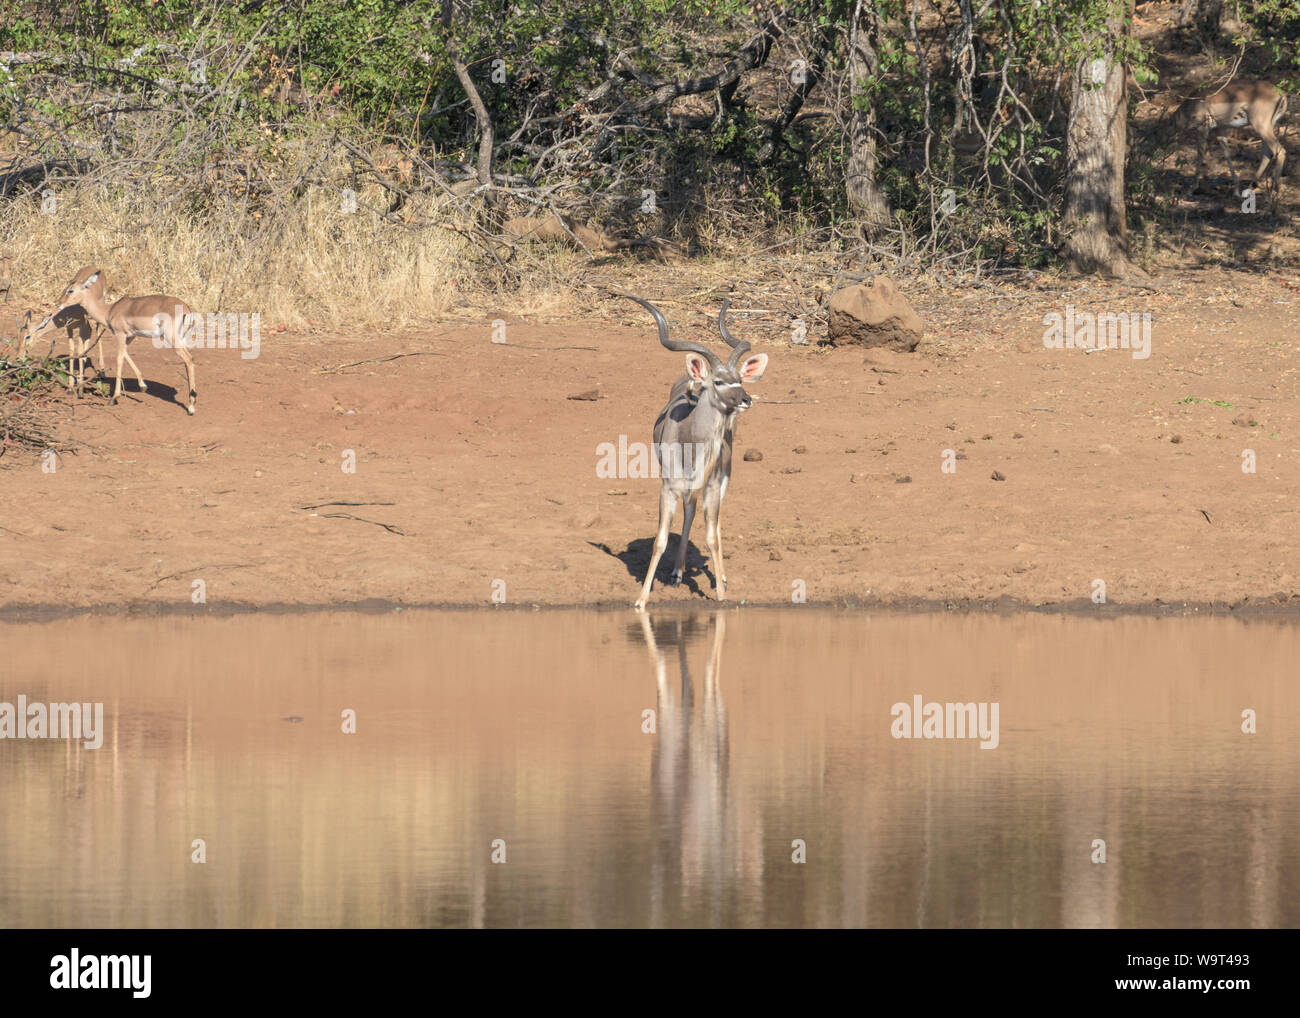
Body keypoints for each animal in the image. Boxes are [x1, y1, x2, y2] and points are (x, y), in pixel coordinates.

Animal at [41, 267, 198, 415]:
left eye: (70, 290)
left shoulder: (120, 334)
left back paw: (191, 407)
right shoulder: (130, 336)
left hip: (172, 339)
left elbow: (119, 359)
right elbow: (126, 354)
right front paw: (143, 385)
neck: (109, 311)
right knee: (188, 360)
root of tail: (186, 309)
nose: (58, 303)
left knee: (189, 359)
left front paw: (114, 398)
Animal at [623, 294, 768, 610]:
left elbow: (712, 536)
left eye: (740, 378)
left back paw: (718, 576)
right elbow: (660, 540)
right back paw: (677, 572)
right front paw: (641, 599)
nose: (745, 399)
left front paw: (721, 594)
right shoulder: (668, 488)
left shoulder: (712, 486)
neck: (691, 444)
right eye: (719, 381)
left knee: (713, 523)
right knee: (689, 512)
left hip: (722, 481)